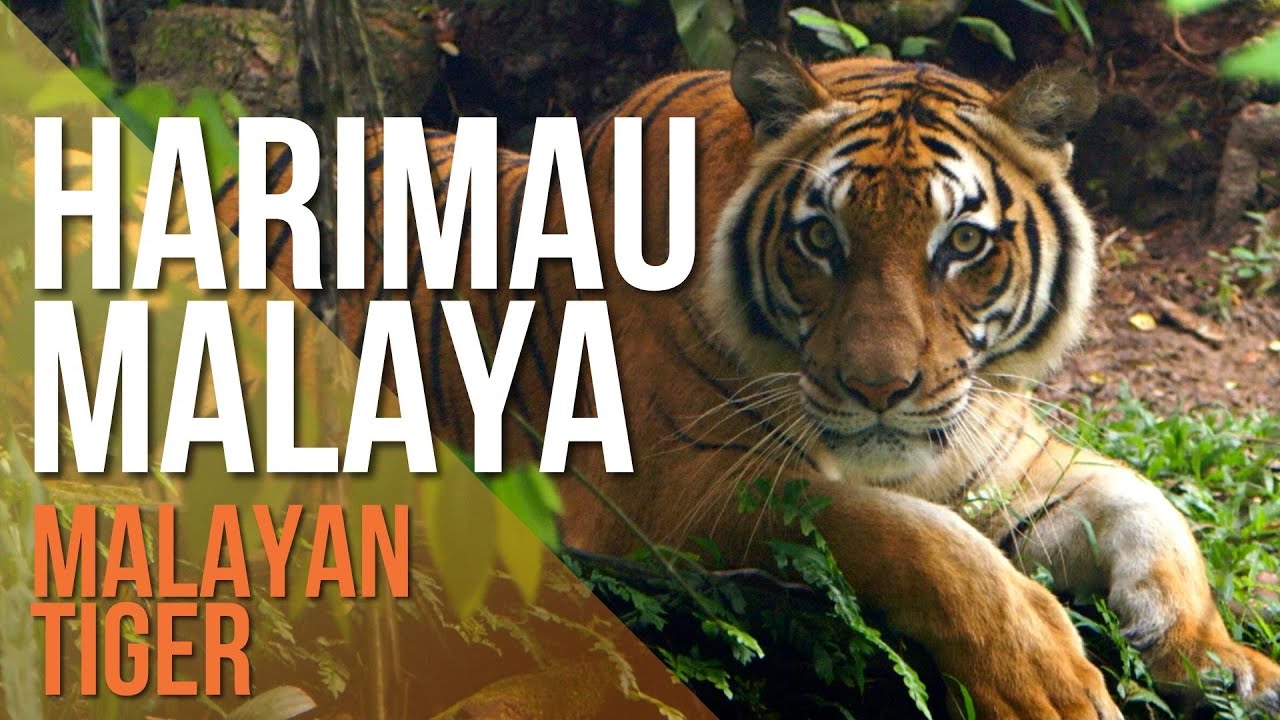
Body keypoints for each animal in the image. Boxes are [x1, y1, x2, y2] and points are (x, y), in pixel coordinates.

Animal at [214, 43, 1280, 718]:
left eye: (963, 244)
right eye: (821, 239)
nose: (880, 388)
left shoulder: (996, 458)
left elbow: (1146, 508)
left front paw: (1221, 658)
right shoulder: (670, 489)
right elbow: (909, 536)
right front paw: (1049, 681)